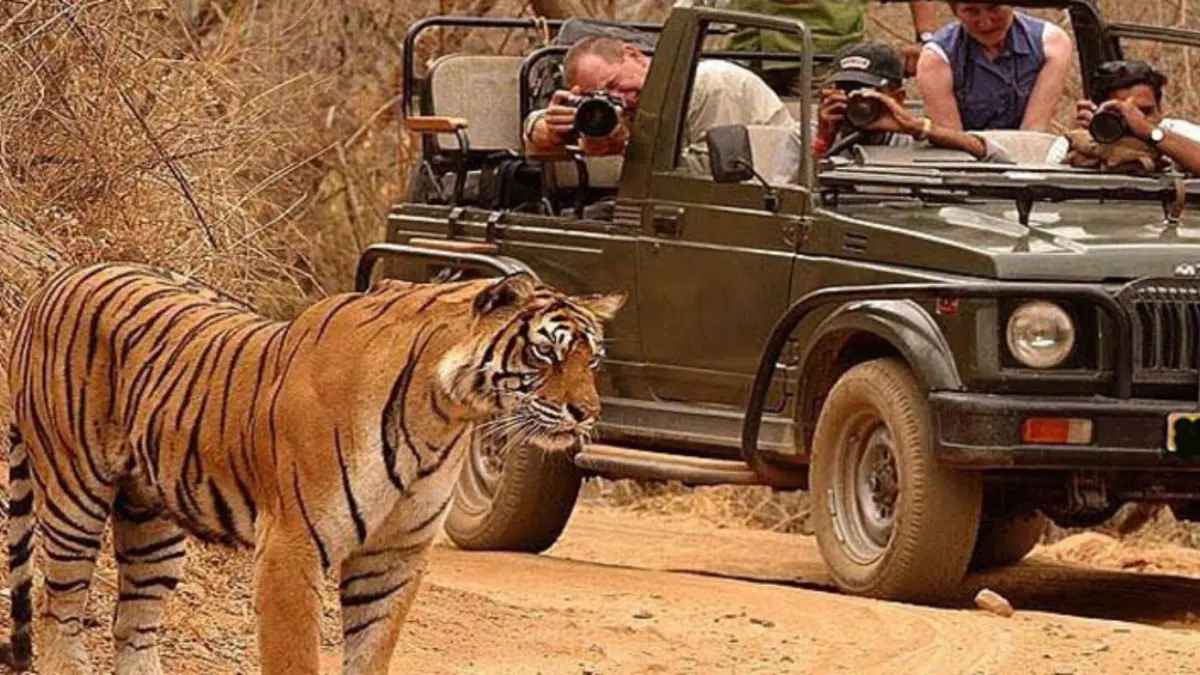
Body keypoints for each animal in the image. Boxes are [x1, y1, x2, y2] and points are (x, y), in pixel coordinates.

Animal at [1, 261, 623, 675]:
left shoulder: (393, 554)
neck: (442, 417)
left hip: (153, 524)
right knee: (58, 612)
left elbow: (371, 654)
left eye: (591, 360)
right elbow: (295, 656)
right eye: (545, 352)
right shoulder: (291, 544)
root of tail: (55, 280)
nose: (588, 413)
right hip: (73, 497)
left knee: (132, 626)